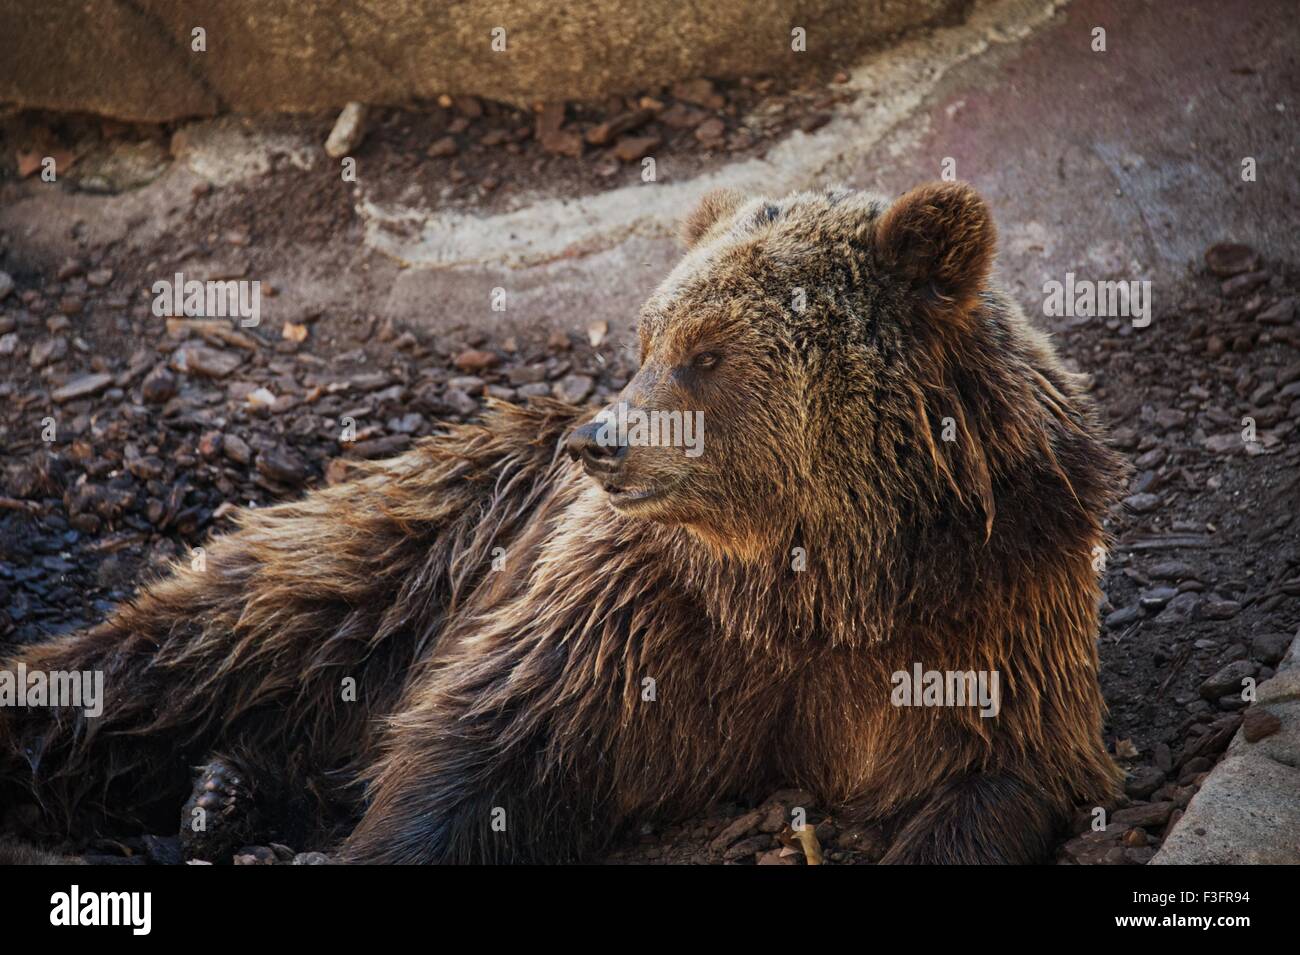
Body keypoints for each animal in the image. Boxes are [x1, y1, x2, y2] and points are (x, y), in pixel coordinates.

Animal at [0, 182, 1125, 864]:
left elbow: (993, 774)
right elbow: (493, 741)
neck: (811, 576)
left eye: (709, 352)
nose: (600, 442)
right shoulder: (633, 606)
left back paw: (227, 791)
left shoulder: (988, 600)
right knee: (220, 635)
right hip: (429, 537)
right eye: (649, 335)